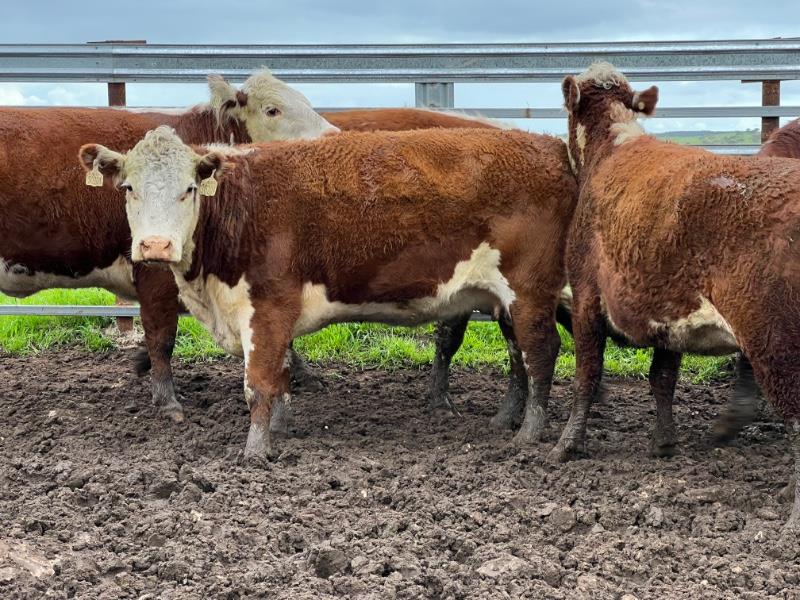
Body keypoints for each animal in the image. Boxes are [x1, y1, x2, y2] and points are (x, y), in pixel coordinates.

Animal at [78, 125, 578, 461]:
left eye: (188, 189)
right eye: (128, 188)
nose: (155, 246)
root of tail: (551, 146)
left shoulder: (268, 306)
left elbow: (258, 384)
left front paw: (255, 451)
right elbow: (281, 377)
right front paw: (282, 428)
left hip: (529, 289)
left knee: (541, 352)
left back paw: (529, 434)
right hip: (506, 300)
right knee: (518, 355)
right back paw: (505, 419)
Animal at [555, 61, 800, 528]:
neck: (611, 148)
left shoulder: (586, 298)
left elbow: (586, 375)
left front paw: (566, 445)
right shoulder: (668, 314)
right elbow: (662, 380)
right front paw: (664, 443)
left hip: (776, 343)